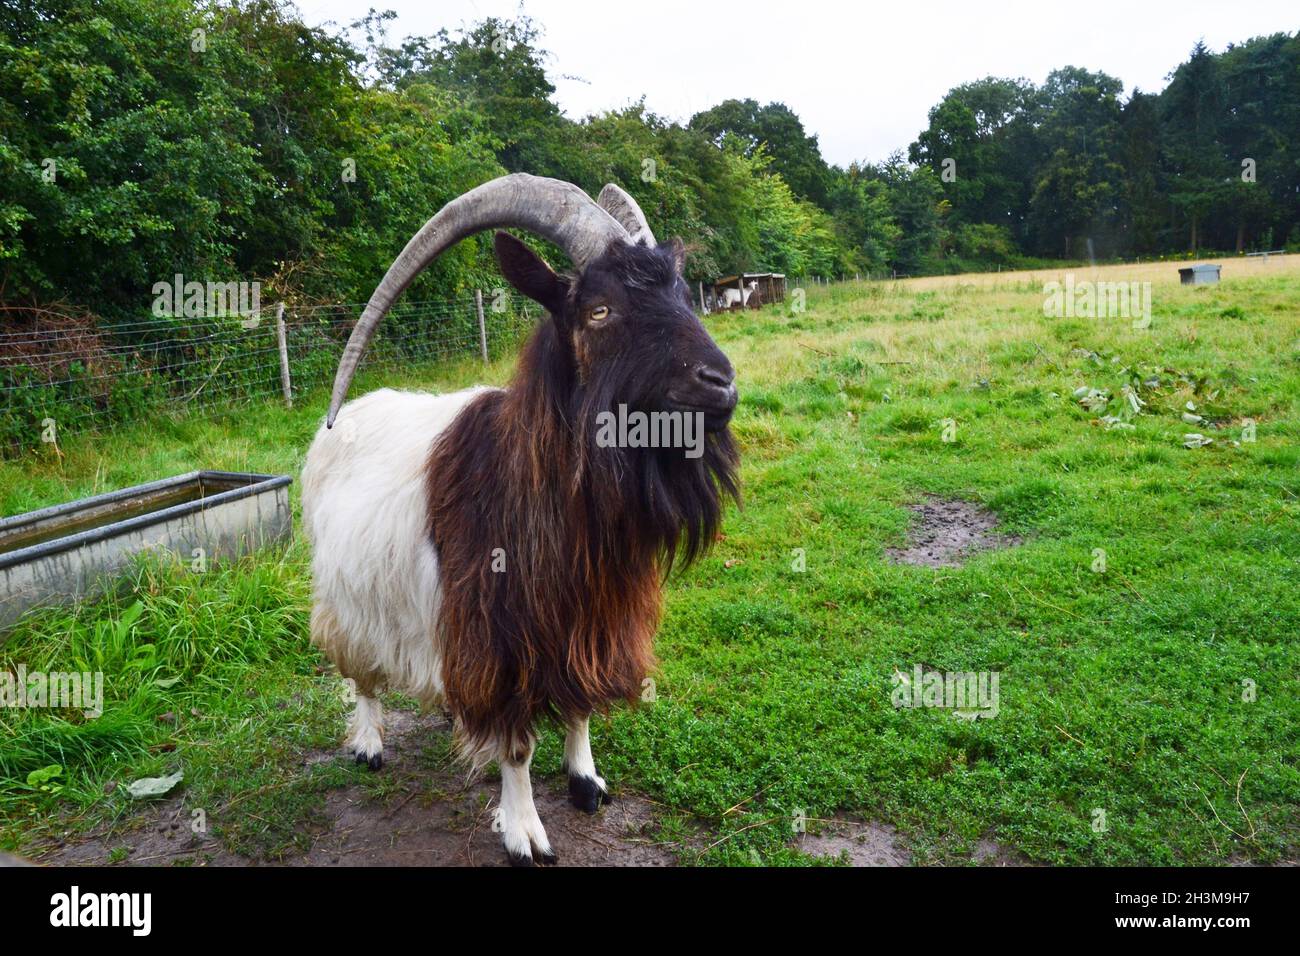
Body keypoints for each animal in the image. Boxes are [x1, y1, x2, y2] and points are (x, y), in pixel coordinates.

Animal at [301, 174, 740, 865]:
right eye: (599, 311)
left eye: (680, 294)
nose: (720, 383)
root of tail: (344, 419)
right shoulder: (500, 639)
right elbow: (516, 744)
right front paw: (524, 831)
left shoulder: (591, 621)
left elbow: (580, 706)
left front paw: (586, 781)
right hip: (349, 598)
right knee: (359, 670)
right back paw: (369, 744)